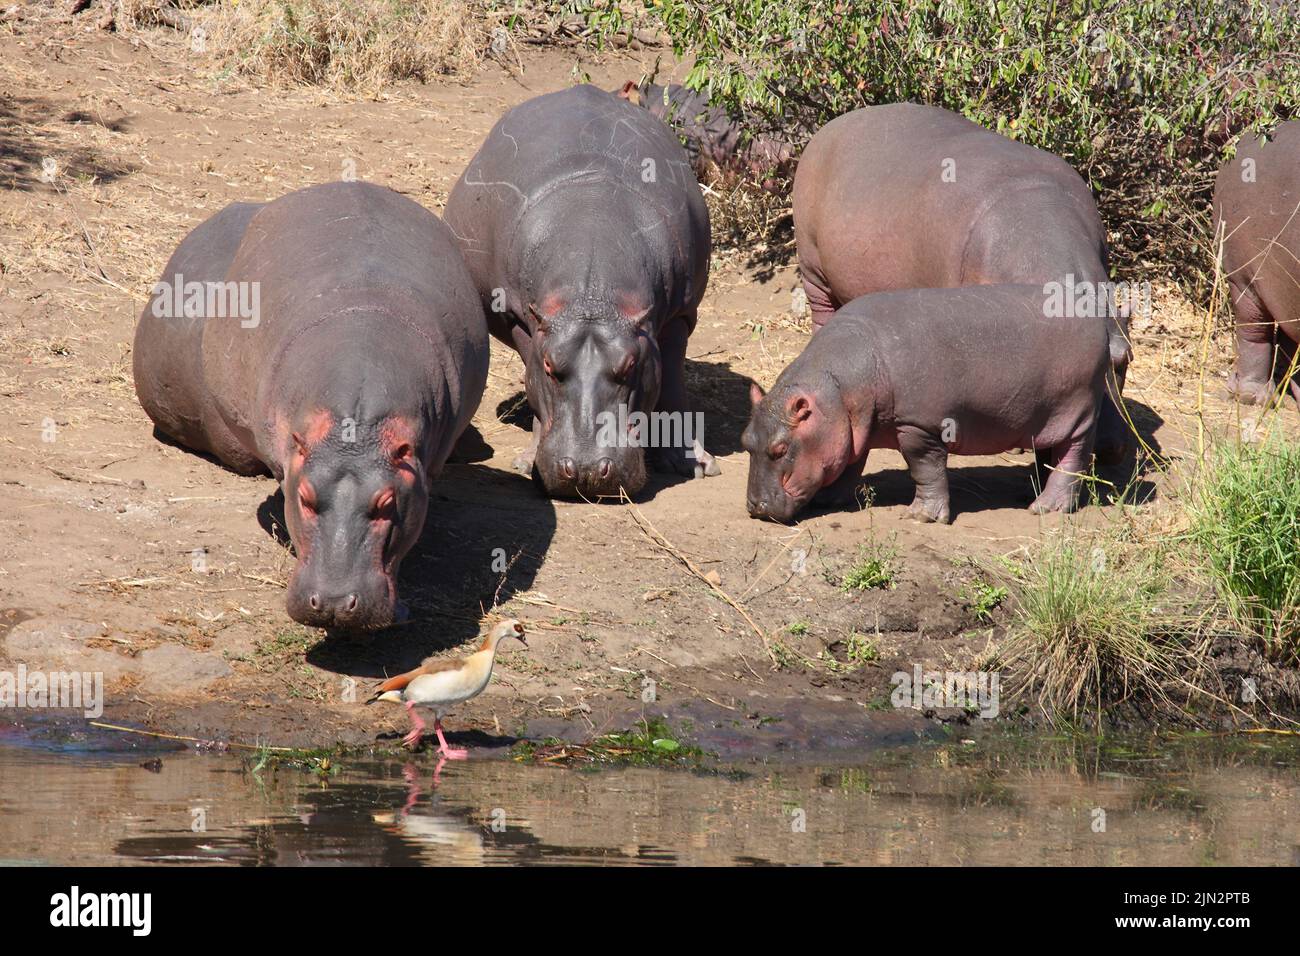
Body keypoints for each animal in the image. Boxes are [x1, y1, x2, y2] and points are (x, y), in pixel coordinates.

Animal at [444, 84, 717, 498]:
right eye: (550, 366)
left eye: (630, 365)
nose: (587, 470)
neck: (593, 299)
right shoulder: (524, 320)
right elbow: (536, 391)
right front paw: (525, 461)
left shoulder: (677, 316)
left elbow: (671, 383)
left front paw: (693, 463)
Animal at [743, 285, 1113, 524]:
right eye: (745, 441)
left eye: (779, 449)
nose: (755, 506)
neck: (834, 389)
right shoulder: (850, 428)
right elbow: (850, 463)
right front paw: (829, 498)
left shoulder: (918, 425)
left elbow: (925, 467)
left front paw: (922, 516)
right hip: (1044, 415)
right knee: (1047, 451)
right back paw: (1028, 492)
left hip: (1078, 412)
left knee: (1073, 458)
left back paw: (1046, 508)